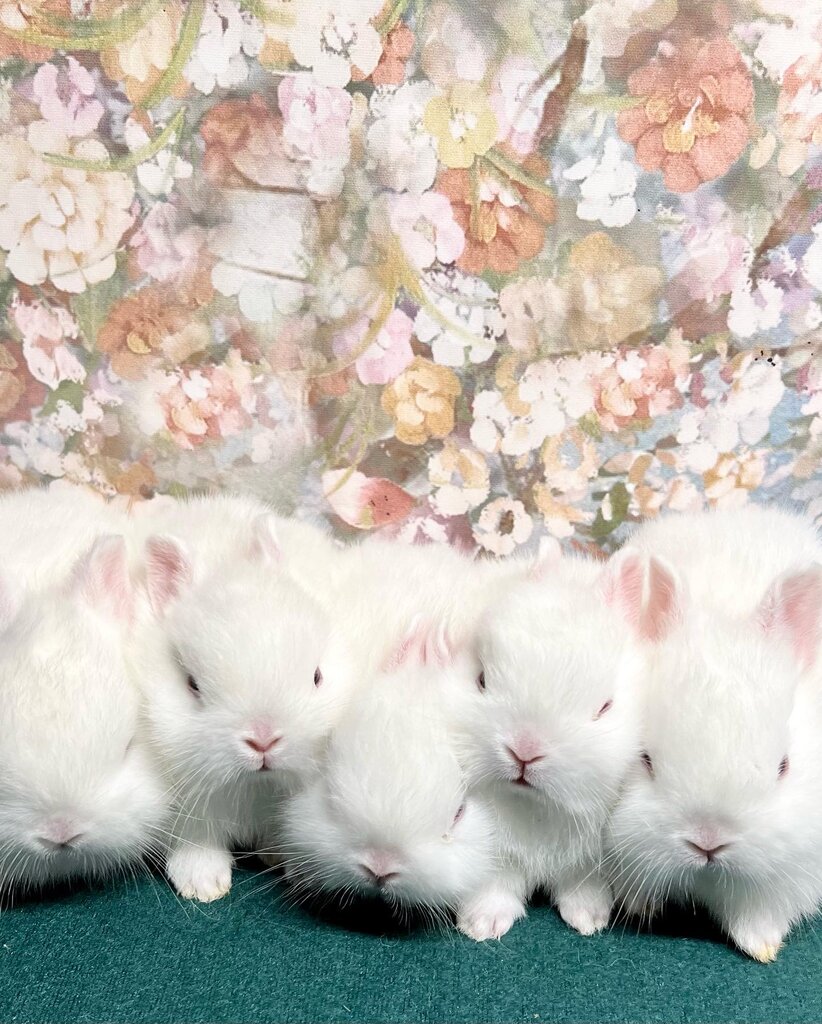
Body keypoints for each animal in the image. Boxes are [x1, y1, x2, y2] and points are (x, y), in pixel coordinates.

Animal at [133, 496, 352, 903]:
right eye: (192, 685)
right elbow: (197, 841)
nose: (263, 740)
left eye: (316, 676)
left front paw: (285, 861)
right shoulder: (187, 808)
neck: (253, 787)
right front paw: (202, 885)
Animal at [455, 550, 646, 941]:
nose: (524, 752)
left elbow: (580, 883)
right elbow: (496, 884)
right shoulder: (496, 855)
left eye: (604, 707)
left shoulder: (588, 859)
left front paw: (589, 918)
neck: (536, 807)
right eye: (481, 680)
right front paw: (482, 924)